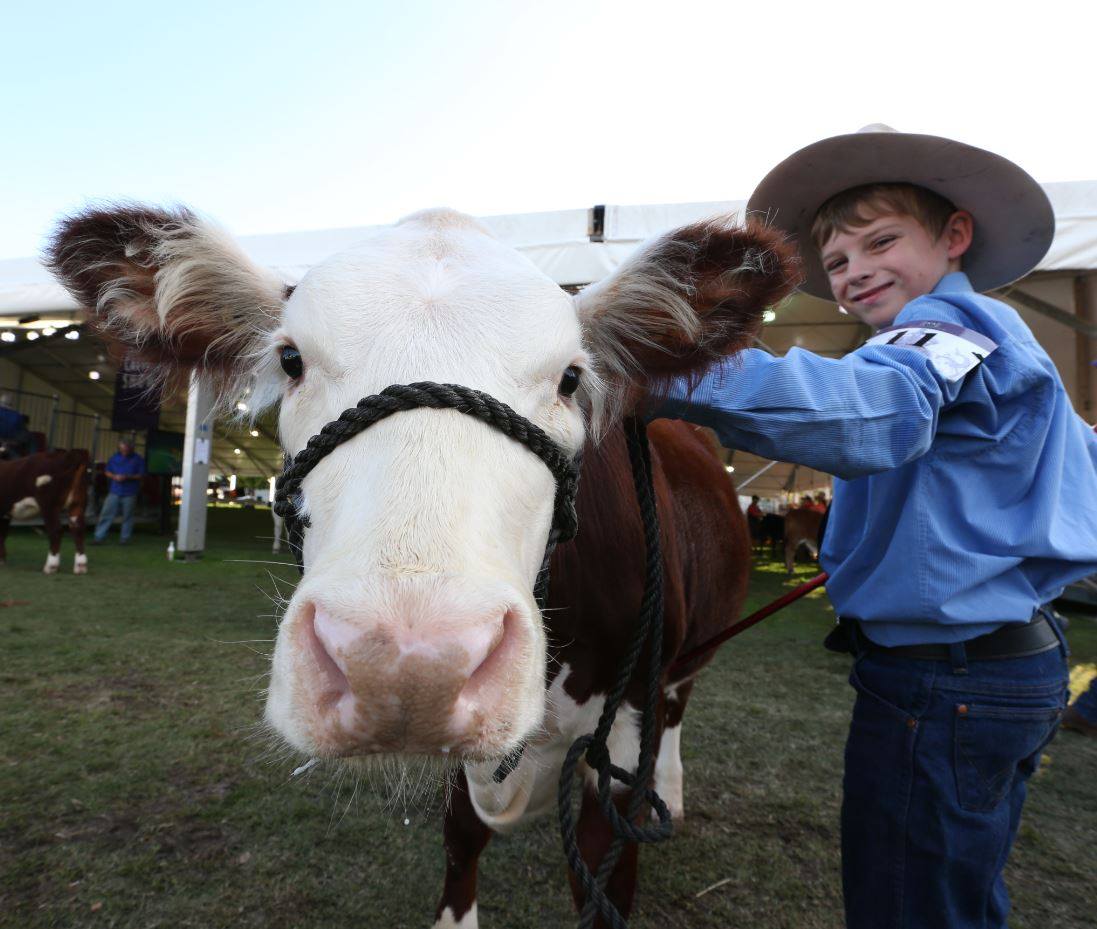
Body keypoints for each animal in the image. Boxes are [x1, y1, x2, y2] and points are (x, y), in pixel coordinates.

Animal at [48, 205, 797, 927]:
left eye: (571, 378)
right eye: (290, 359)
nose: (406, 664)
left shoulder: (617, 740)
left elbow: (605, 878)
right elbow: (460, 837)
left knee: (677, 705)